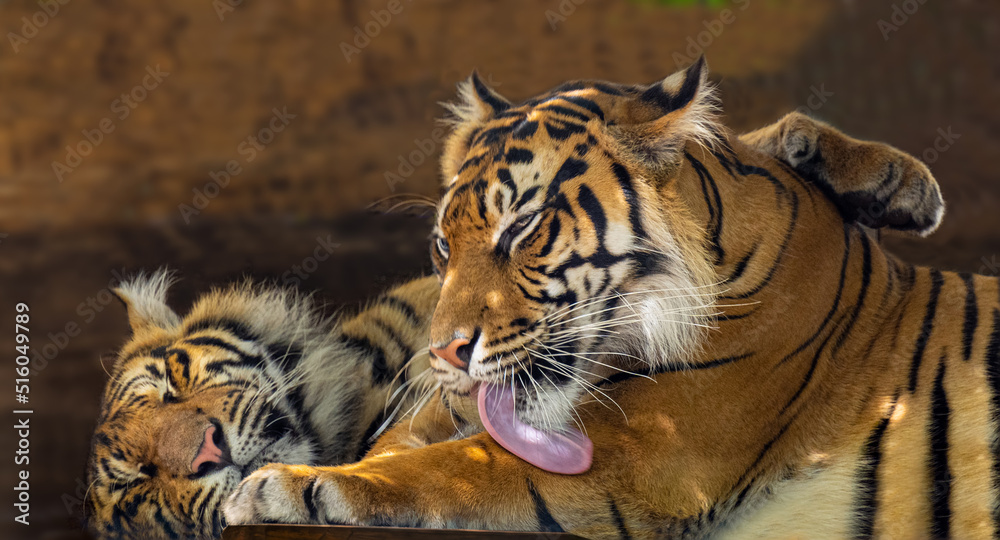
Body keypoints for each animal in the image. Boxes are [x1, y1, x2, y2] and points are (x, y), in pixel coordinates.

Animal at [223, 57, 999, 539]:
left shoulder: (644, 454)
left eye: (523, 227)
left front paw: (287, 485)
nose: (442, 353)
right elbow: (410, 440)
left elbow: (451, 467)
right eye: (444, 245)